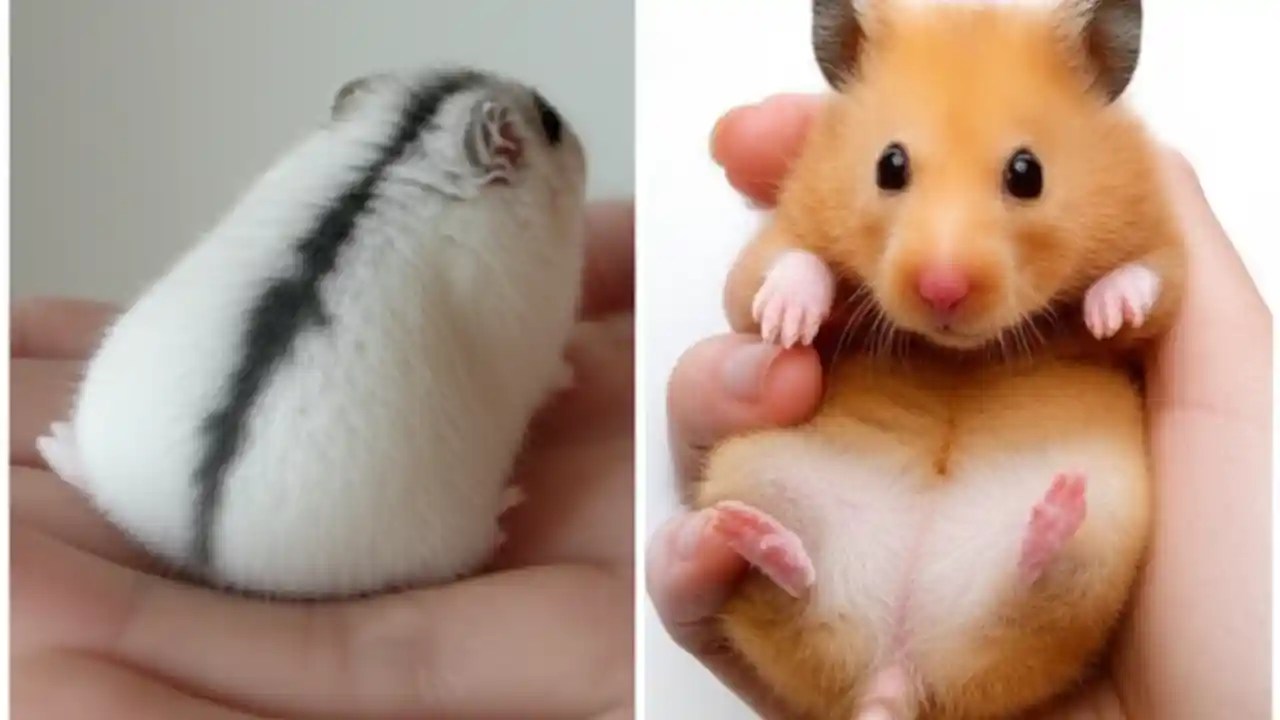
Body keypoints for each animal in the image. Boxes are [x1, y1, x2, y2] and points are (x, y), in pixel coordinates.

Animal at [37, 67, 587, 598]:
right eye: (550, 121)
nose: (581, 145)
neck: (406, 151)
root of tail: (199, 551)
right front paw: (572, 375)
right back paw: (507, 505)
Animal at [697, 1, 1185, 718]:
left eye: (1027, 173)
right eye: (889, 165)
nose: (942, 289)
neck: (959, 351)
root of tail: (896, 668)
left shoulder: (1166, 246)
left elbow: (1147, 283)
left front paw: (1106, 313)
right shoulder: (789, 221)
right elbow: (784, 264)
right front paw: (789, 322)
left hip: (1106, 540)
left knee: (1037, 586)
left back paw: (1055, 514)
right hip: (755, 472)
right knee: (793, 584)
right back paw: (752, 537)